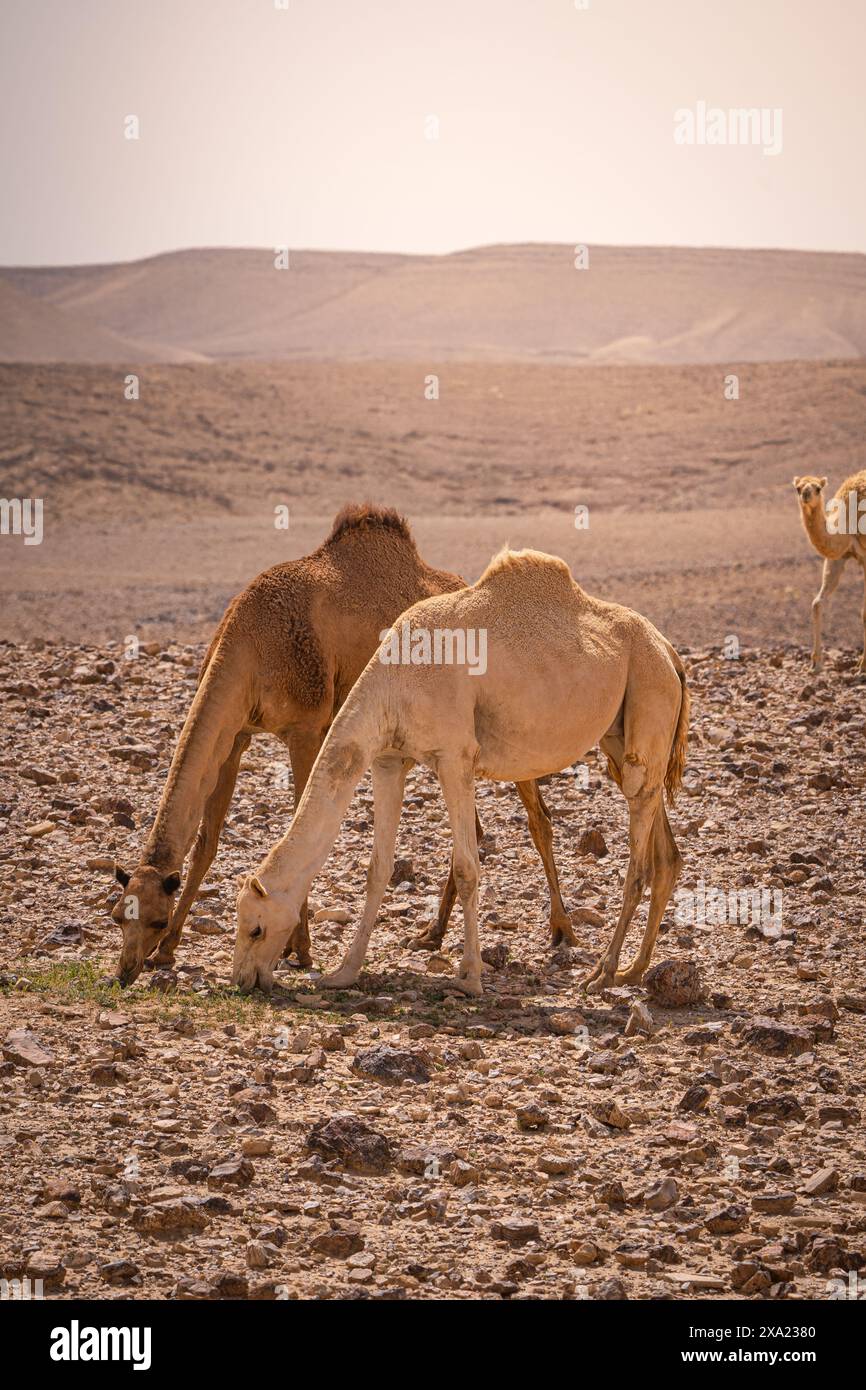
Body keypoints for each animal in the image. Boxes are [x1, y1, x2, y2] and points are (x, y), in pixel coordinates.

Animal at [112, 506, 571, 984]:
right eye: (118, 916)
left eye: (155, 918)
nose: (125, 971)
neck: (250, 645)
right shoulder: (236, 732)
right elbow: (207, 839)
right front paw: (170, 950)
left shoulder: (306, 728)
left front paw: (299, 948)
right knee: (477, 829)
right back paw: (432, 935)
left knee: (538, 818)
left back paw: (562, 930)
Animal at [231, 547, 689, 999]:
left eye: (255, 929)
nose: (242, 980)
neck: (396, 679)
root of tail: (669, 651)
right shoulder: (388, 759)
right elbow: (378, 868)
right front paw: (344, 971)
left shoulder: (455, 757)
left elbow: (468, 868)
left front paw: (469, 976)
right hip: (621, 735)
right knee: (665, 851)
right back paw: (633, 971)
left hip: (649, 689)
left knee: (640, 854)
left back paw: (603, 973)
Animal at [793, 472, 866, 674]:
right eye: (798, 488)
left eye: (818, 488)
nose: (806, 495)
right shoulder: (840, 556)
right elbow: (817, 603)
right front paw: (815, 665)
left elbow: (865, 613)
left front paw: (862, 666)